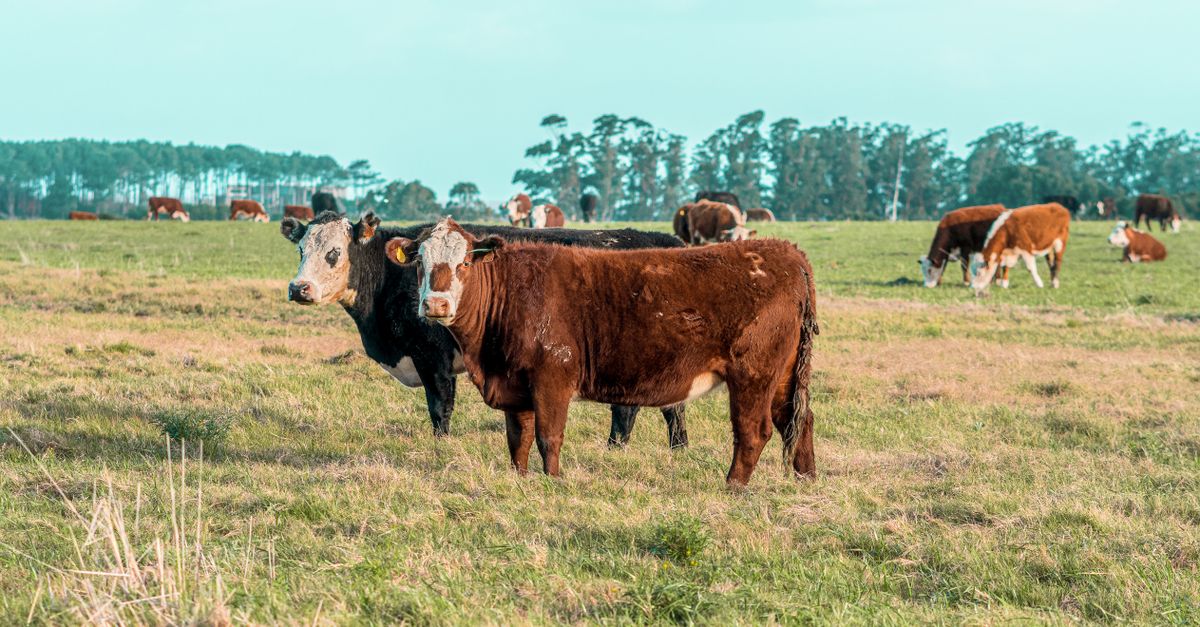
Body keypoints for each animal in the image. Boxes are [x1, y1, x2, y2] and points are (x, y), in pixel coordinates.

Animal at [281, 211, 688, 448]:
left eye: (334, 252)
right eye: (301, 249)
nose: (299, 288)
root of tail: (668, 241)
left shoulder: (433, 358)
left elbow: (439, 408)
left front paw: (440, 449)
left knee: (633, 408)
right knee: (669, 406)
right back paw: (675, 449)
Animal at [385, 218, 819, 486]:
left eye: (462, 264)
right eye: (420, 263)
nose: (435, 305)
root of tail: (786, 252)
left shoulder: (553, 377)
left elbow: (548, 436)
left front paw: (553, 481)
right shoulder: (514, 382)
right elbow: (517, 438)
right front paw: (519, 478)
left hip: (753, 373)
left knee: (754, 430)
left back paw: (732, 486)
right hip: (783, 375)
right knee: (798, 420)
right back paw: (805, 478)